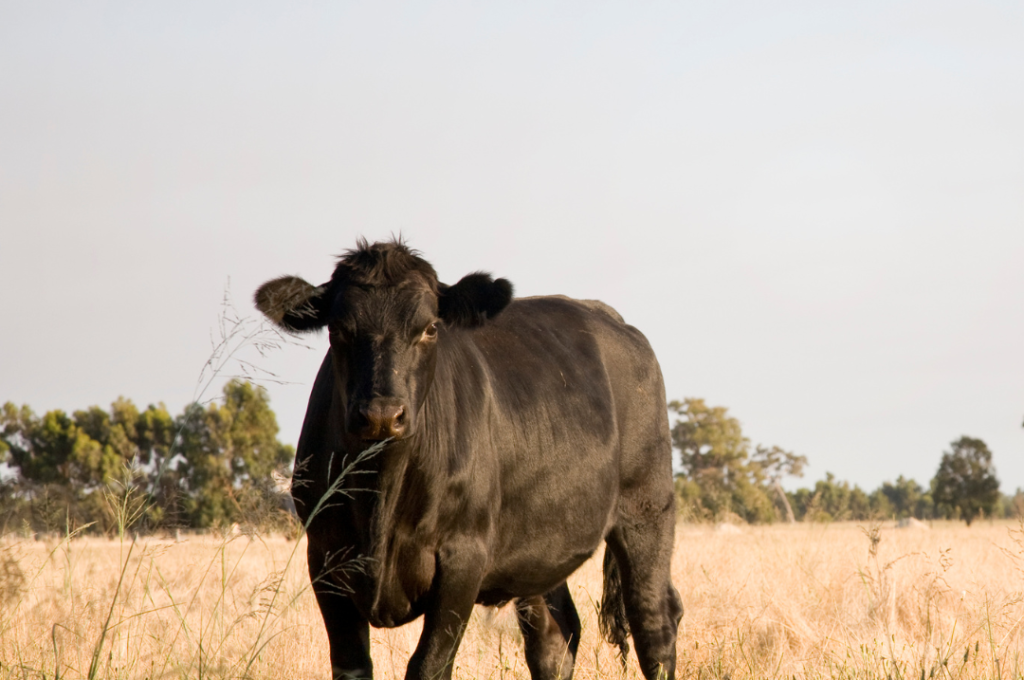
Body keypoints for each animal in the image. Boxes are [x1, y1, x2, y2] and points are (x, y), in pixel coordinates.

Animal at [254, 239, 682, 680]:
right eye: (338, 329)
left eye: (430, 327)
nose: (381, 414)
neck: (382, 494)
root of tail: (608, 316)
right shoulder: (325, 559)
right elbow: (352, 666)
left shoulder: (463, 559)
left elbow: (428, 665)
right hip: (539, 548)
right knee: (554, 637)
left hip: (646, 508)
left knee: (654, 621)